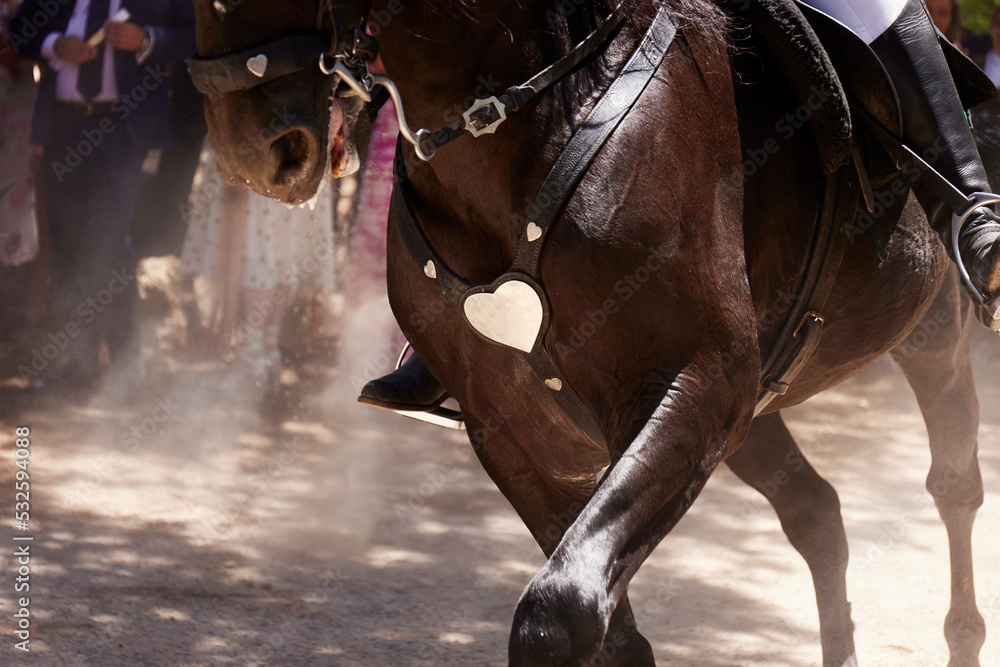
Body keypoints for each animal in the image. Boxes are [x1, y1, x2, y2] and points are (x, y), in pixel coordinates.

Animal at [188, 1, 988, 664]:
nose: (257, 147)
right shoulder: (516, 427)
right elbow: (606, 629)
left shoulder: (695, 383)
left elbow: (559, 612)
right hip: (754, 410)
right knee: (817, 511)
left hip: (932, 336)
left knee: (954, 485)